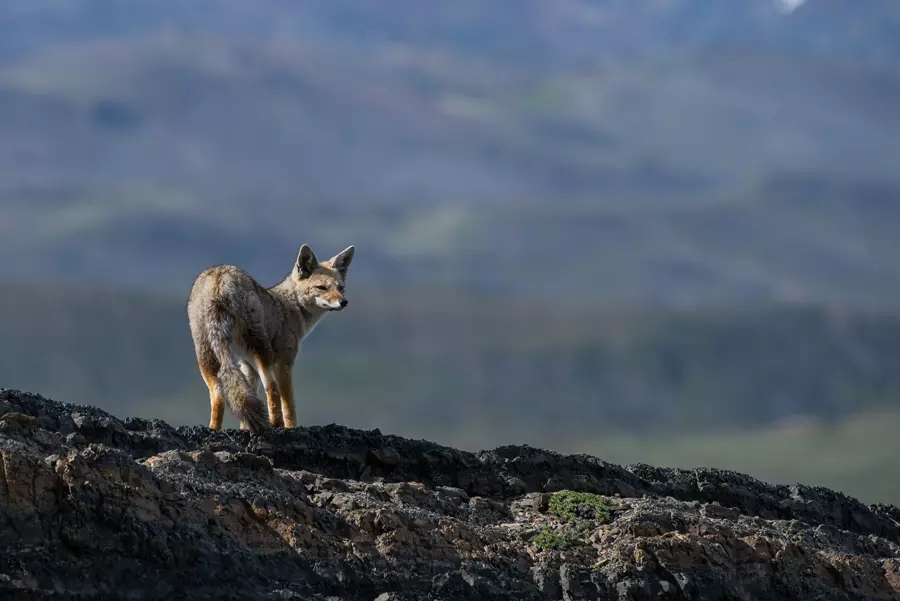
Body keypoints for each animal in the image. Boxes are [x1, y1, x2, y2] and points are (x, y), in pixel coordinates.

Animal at [186, 241, 356, 434]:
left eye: (341, 288)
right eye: (322, 287)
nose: (344, 302)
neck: (291, 306)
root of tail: (219, 280)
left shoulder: (247, 365)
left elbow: (248, 400)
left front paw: (246, 428)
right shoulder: (284, 363)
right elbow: (289, 405)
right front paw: (290, 427)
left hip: (207, 357)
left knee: (218, 395)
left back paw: (214, 428)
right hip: (262, 351)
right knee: (272, 387)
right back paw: (274, 424)